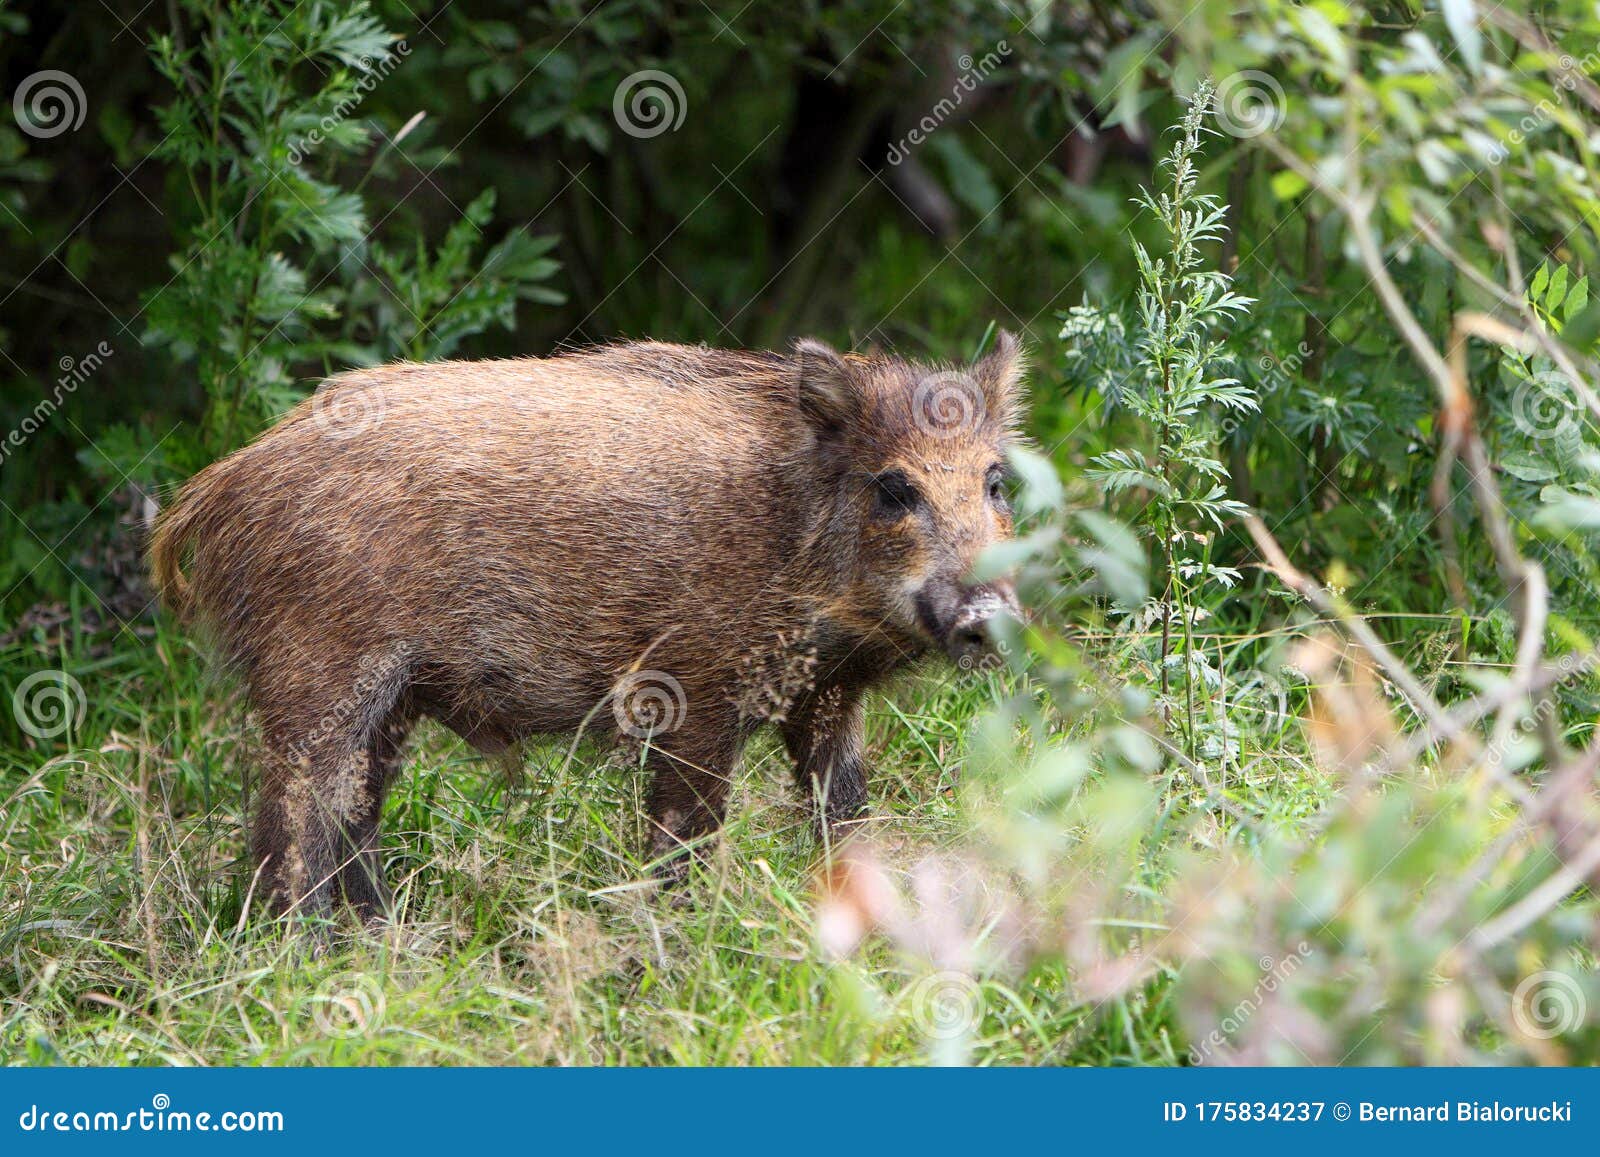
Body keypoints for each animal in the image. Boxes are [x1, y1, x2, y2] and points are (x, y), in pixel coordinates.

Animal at [149, 334, 1025, 921]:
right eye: (894, 487)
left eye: (994, 480)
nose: (990, 618)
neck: (788, 528)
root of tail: (222, 482)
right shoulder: (694, 691)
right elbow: (686, 837)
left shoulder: (827, 700)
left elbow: (845, 816)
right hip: (318, 675)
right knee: (291, 827)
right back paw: (309, 952)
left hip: (389, 702)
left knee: (353, 817)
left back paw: (383, 939)